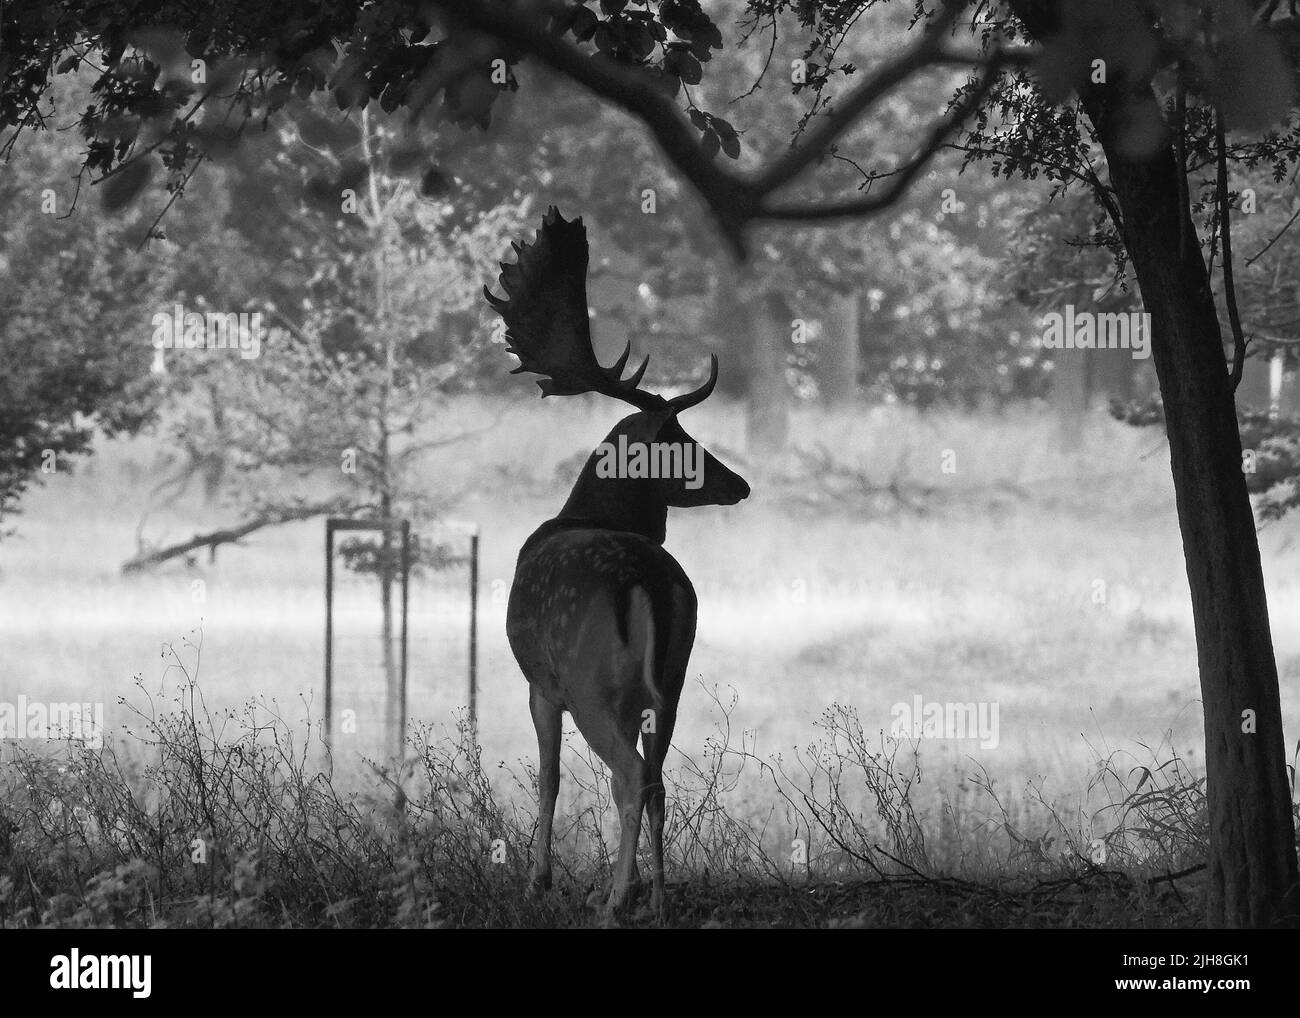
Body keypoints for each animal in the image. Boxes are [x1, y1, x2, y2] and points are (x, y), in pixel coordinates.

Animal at [485, 207, 750, 919]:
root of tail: (643, 579)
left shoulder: (540, 683)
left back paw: (614, 898)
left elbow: (547, 776)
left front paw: (538, 880)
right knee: (656, 777)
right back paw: (653, 897)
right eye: (685, 442)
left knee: (629, 775)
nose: (739, 483)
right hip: (672, 679)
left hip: (589, 681)